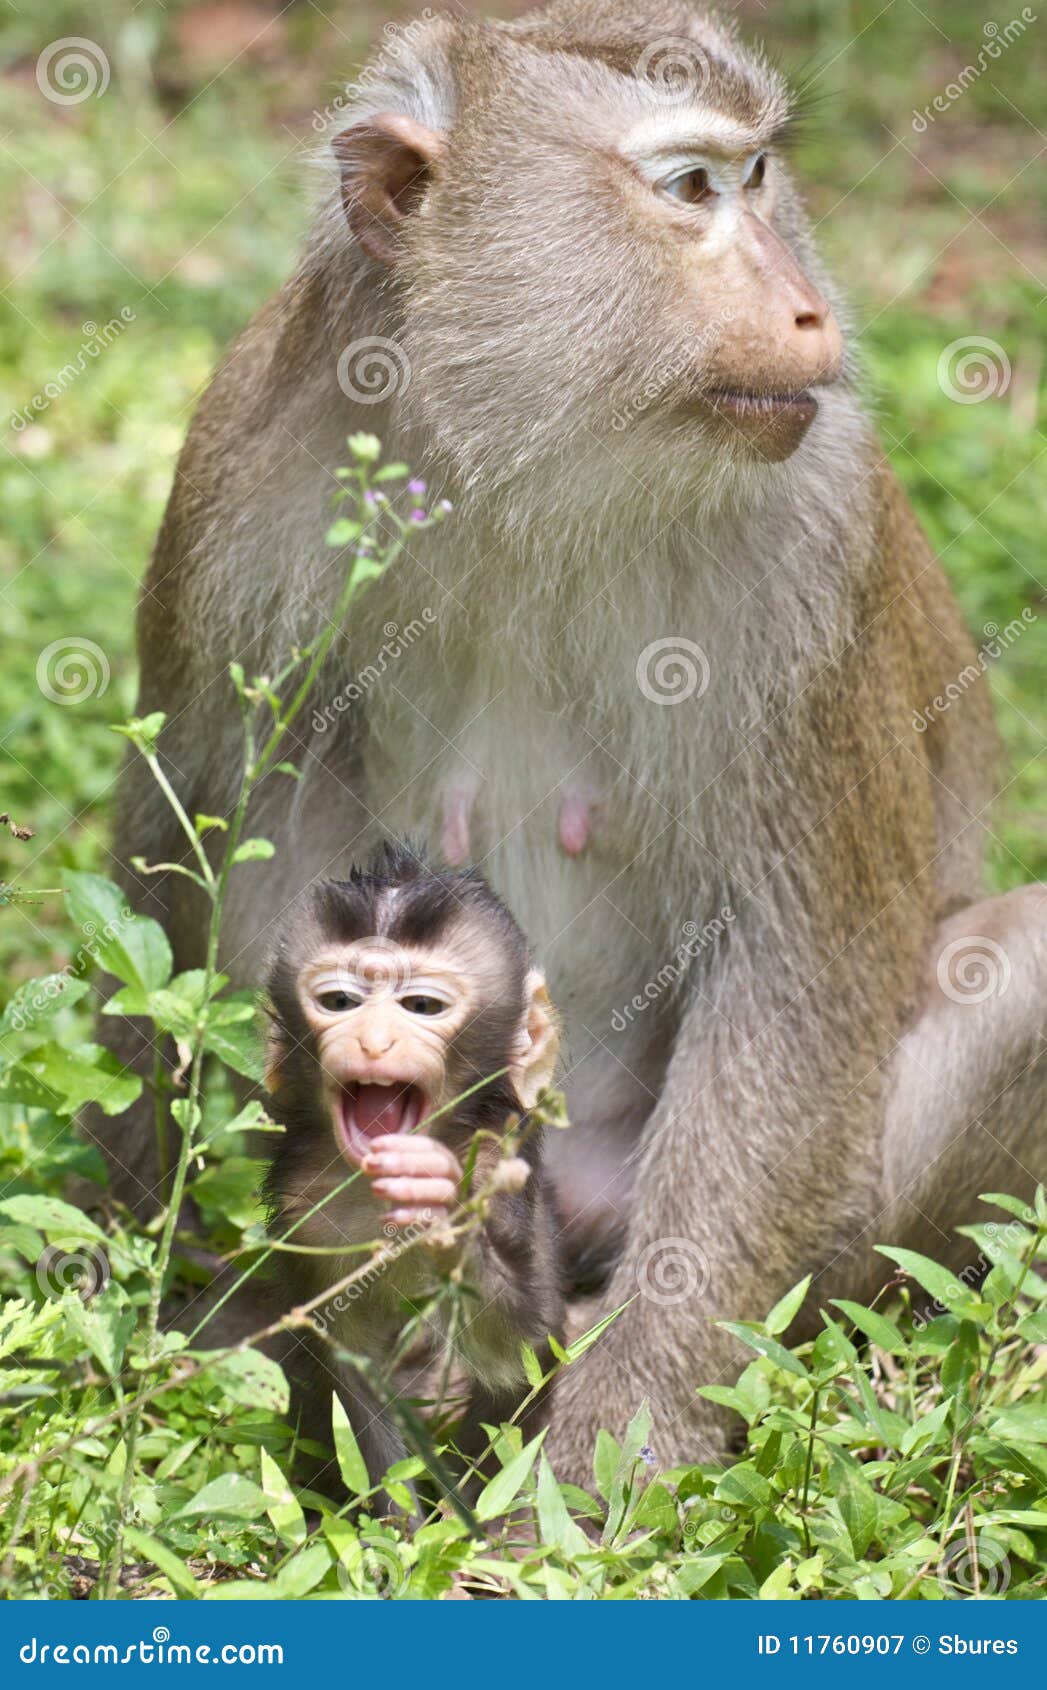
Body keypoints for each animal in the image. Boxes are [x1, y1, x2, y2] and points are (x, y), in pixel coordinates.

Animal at [260, 842, 564, 1494]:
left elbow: (522, 1352)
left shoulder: (496, 1165)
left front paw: (440, 1210)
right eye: (340, 1002)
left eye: (421, 1006)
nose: (373, 1041)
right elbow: (349, 1377)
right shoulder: (306, 1209)